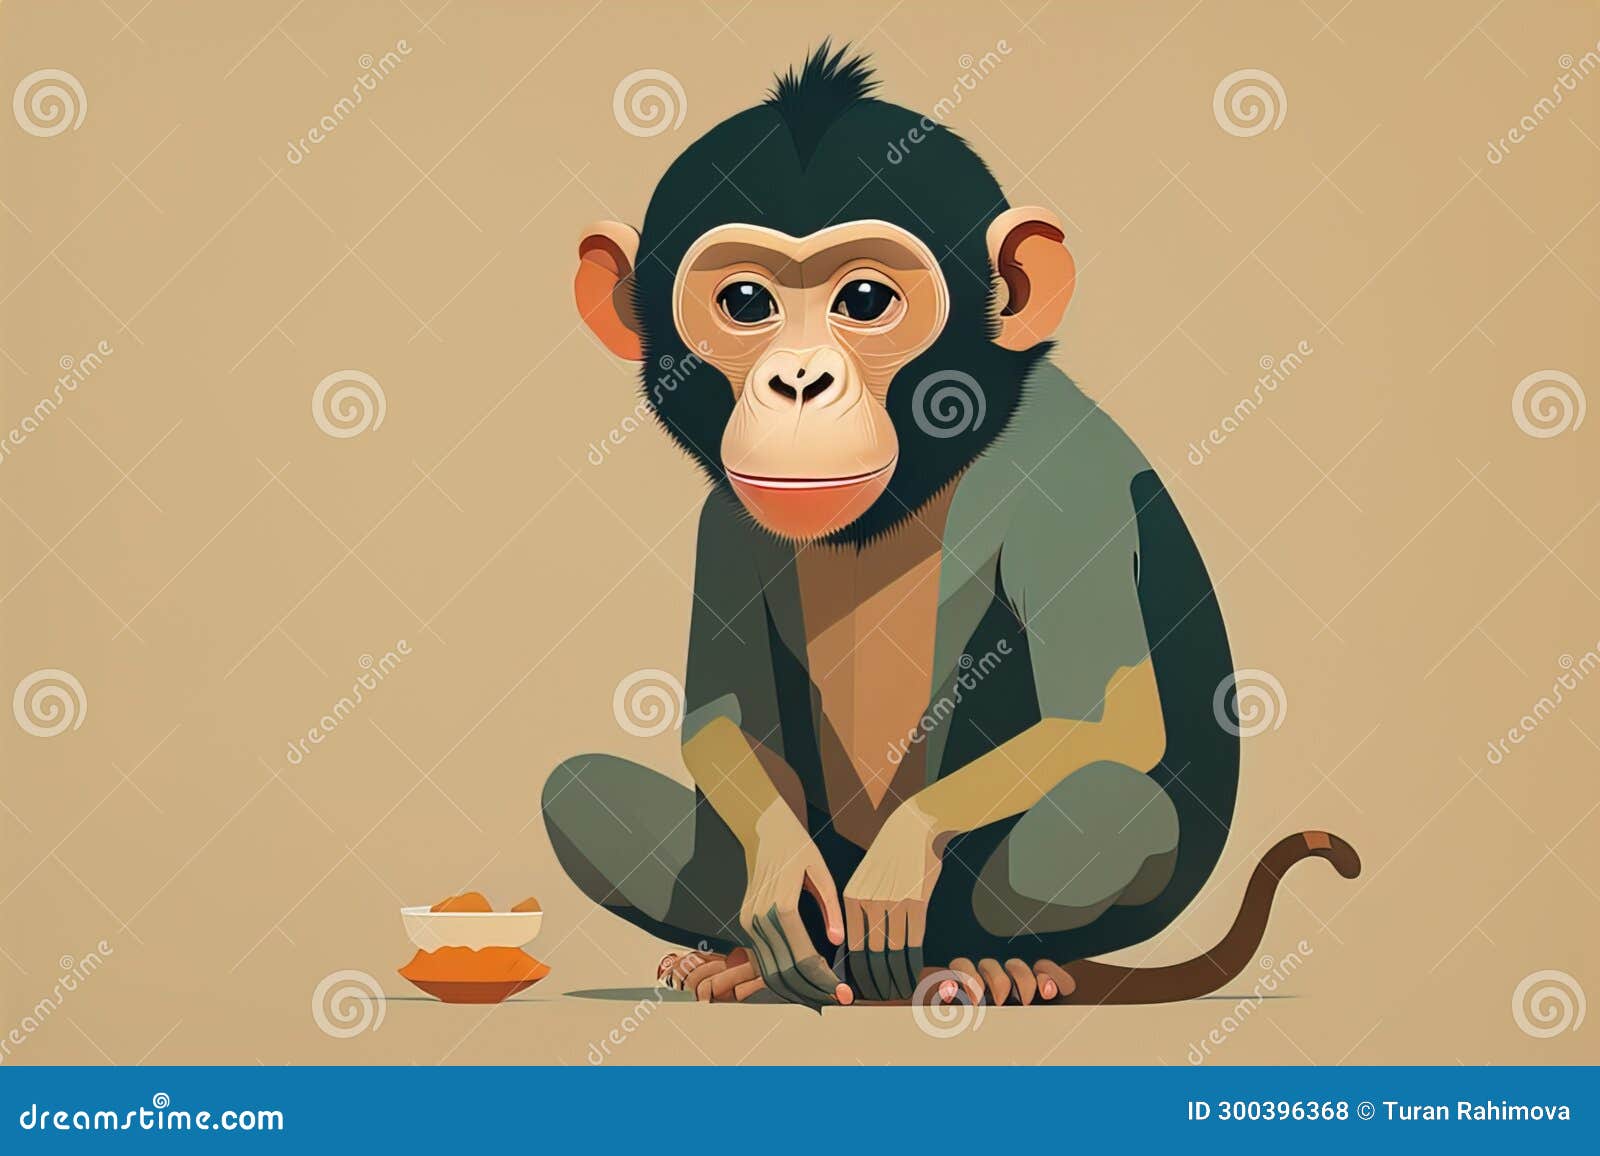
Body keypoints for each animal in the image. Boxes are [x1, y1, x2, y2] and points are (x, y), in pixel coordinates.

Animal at [546, 44, 1359, 1009]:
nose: (799, 381)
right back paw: (737, 961)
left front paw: (904, 858)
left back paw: (999, 964)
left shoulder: (1067, 475)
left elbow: (1105, 721)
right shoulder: (723, 517)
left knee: (1109, 808)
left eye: (865, 300)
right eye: (745, 303)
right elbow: (720, 719)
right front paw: (777, 874)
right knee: (577, 789)